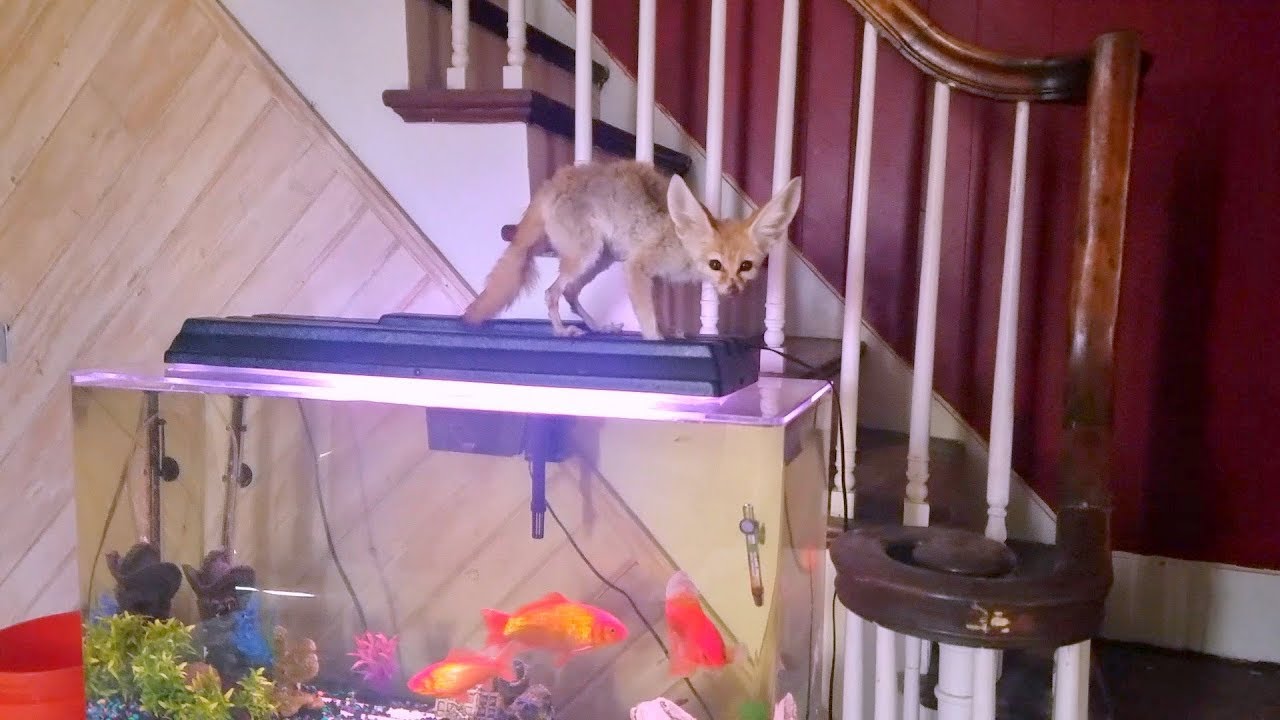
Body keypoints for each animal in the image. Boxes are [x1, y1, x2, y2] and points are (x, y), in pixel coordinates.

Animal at [461, 160, 803, 340]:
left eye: (746, 266)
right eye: (715, 265)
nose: (732, 290)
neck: (680, 242)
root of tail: (555, 181)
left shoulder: (652, 276)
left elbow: (656, 311)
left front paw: (671, 331)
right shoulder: (637, 267)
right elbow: (647, 317)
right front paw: (656, 339)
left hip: (600, 260)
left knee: (569, 293)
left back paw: (598, 327)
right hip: (587, 257)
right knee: (551, 292)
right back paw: (562, 332)